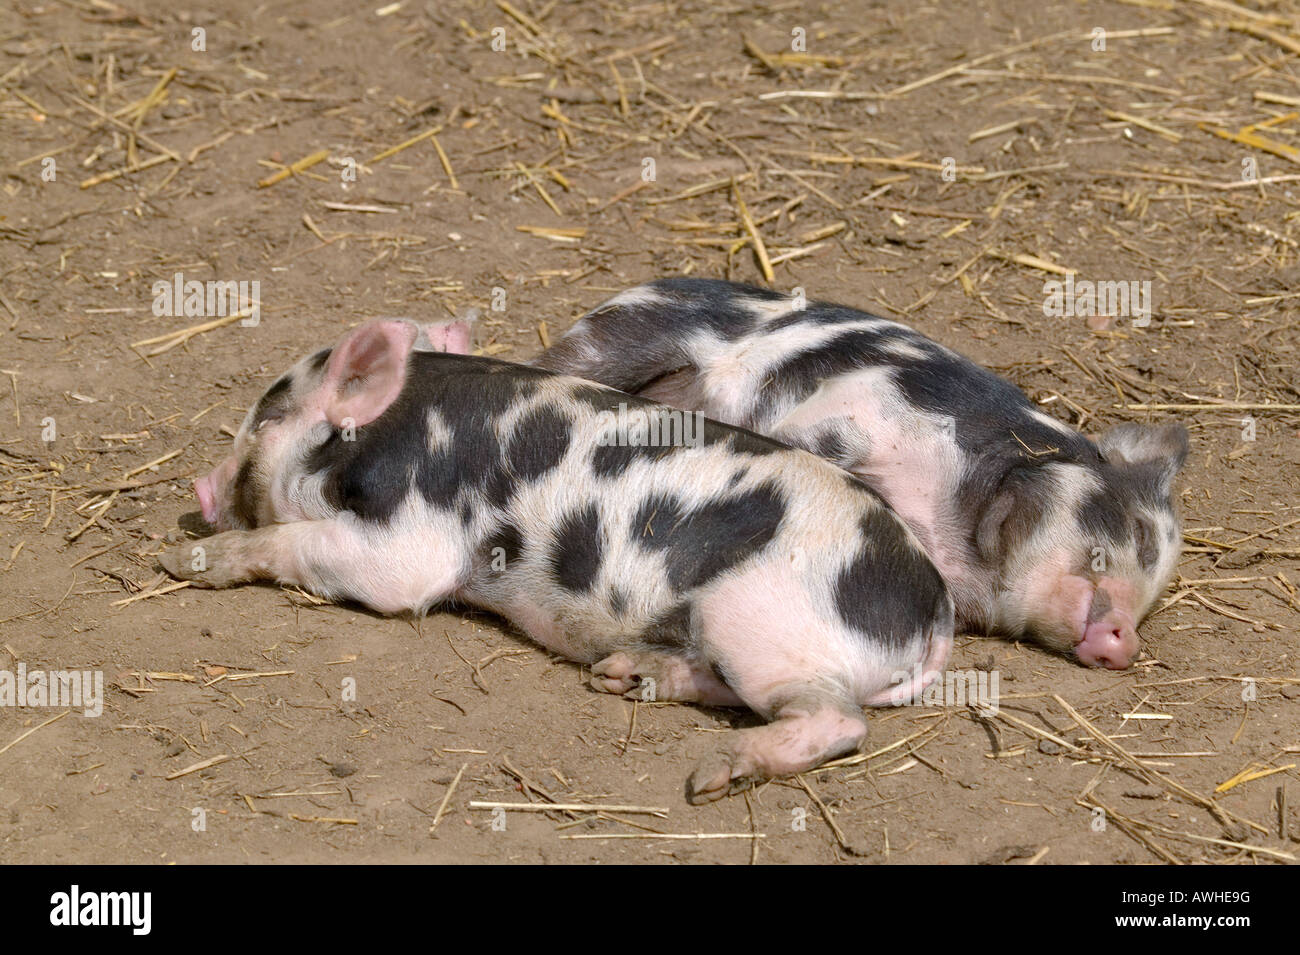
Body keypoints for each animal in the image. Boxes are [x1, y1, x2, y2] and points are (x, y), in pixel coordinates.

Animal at [160, 318, 954, 802]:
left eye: (267, 420)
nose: (198, 491)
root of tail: (934, 611)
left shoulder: (410, 544)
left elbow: (338, 556)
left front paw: (180, 560)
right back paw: (623, 675)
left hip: (760, 620)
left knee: (837, 721)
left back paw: (708, 777)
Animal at [532, 278, 1190, 670]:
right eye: (1136, 533)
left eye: (1154, 597)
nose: (1127, 639)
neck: (958, 535)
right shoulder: (857, 413)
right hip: (622, 333)